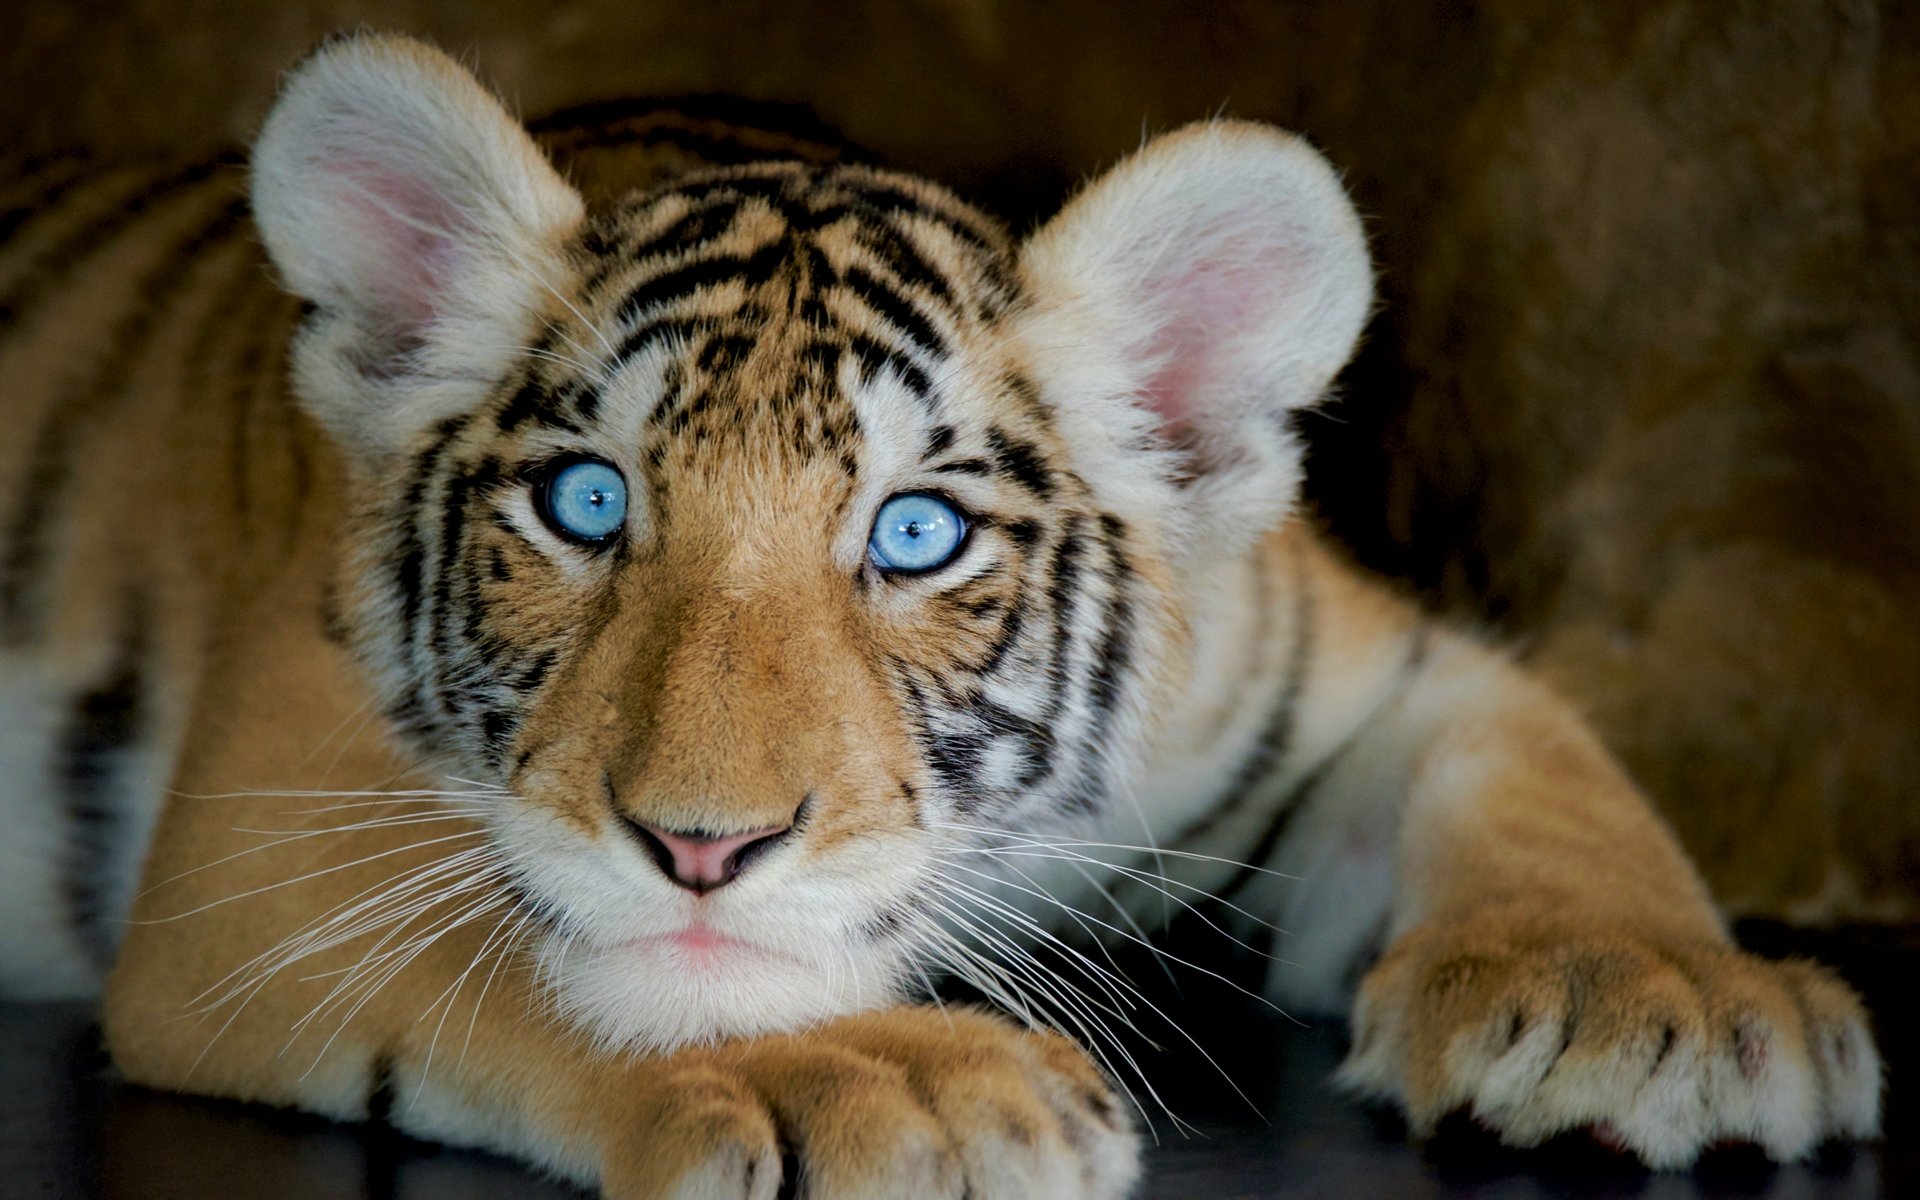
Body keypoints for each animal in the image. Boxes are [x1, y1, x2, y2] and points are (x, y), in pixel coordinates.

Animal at [0, 32, 1883, 1198]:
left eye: (914, 535)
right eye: (588, 505)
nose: (701, 844)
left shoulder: (1373, 674)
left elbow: (1558, 795)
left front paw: (1656, 998)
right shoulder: (256, 831)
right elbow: (584, 956)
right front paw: (895, 1083)